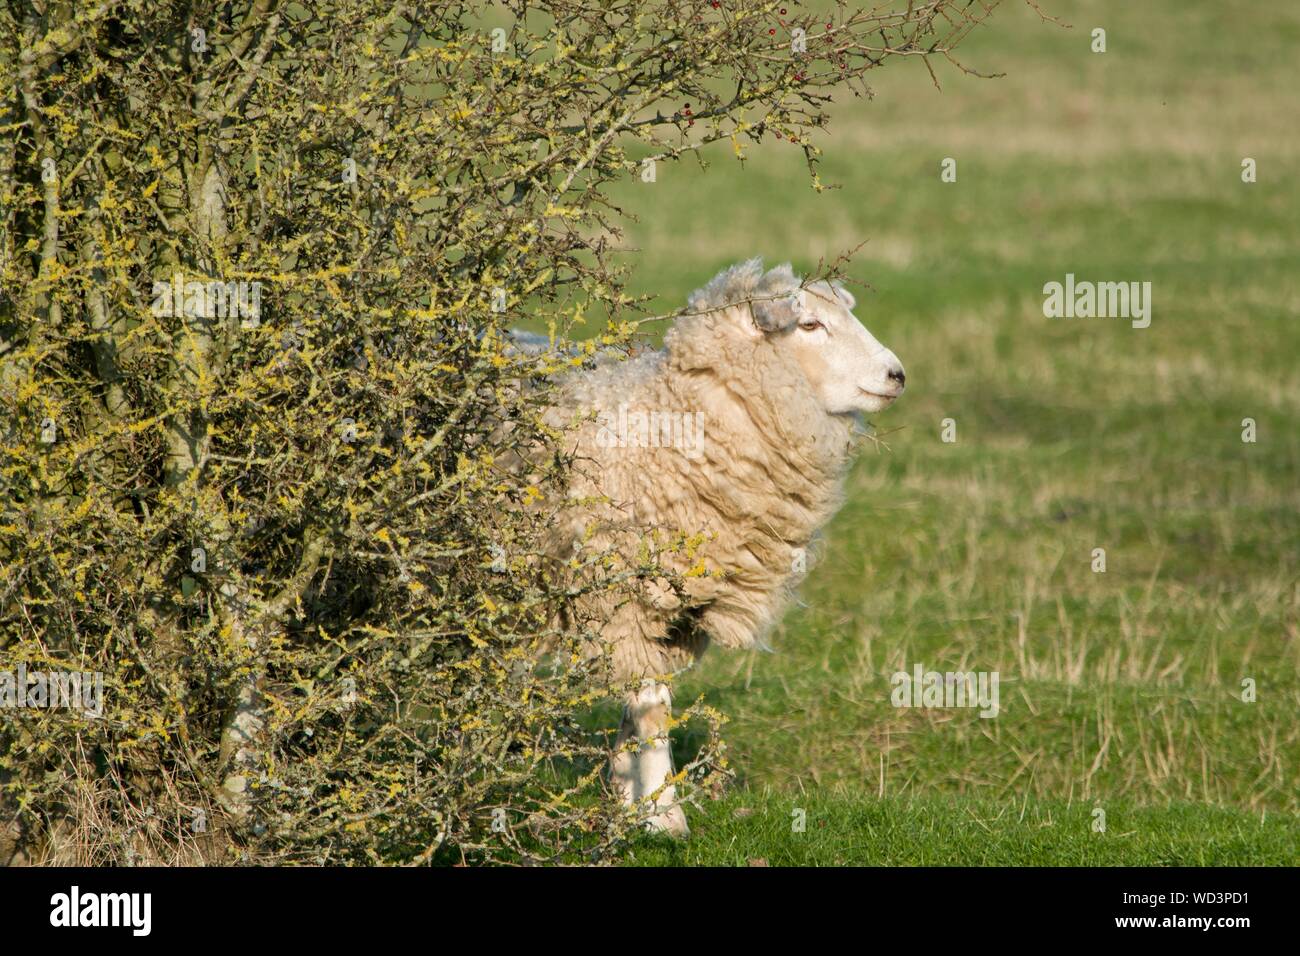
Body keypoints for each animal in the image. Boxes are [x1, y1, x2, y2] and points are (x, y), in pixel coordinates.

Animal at [533, 258, 906, 837]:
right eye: (809, 325)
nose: (897, 375)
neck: (671, 420)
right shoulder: (622, 599)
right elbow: (651, 705)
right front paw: (664, 816)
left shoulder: (680, 614)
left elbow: (639, 707)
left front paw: (627, 800)